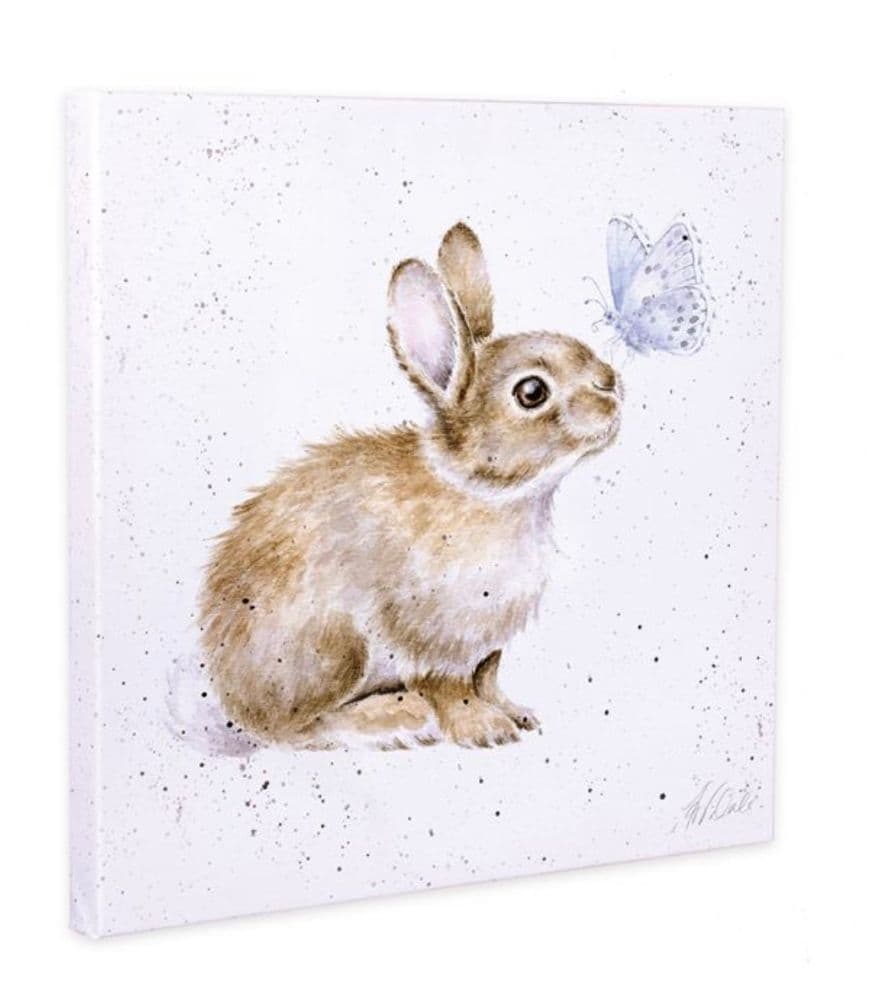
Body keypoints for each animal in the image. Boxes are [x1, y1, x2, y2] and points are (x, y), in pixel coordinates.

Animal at [196, 223, 622, 751]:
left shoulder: (487, 648)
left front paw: (517, 715)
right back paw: (398, 715)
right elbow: (451, 688)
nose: (612, 384)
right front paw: (486, 731)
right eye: (531, 392)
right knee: (293, 728)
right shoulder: (433, 638)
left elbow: (488, 677)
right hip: (336, 647)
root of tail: (230, 692)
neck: (485, 492)